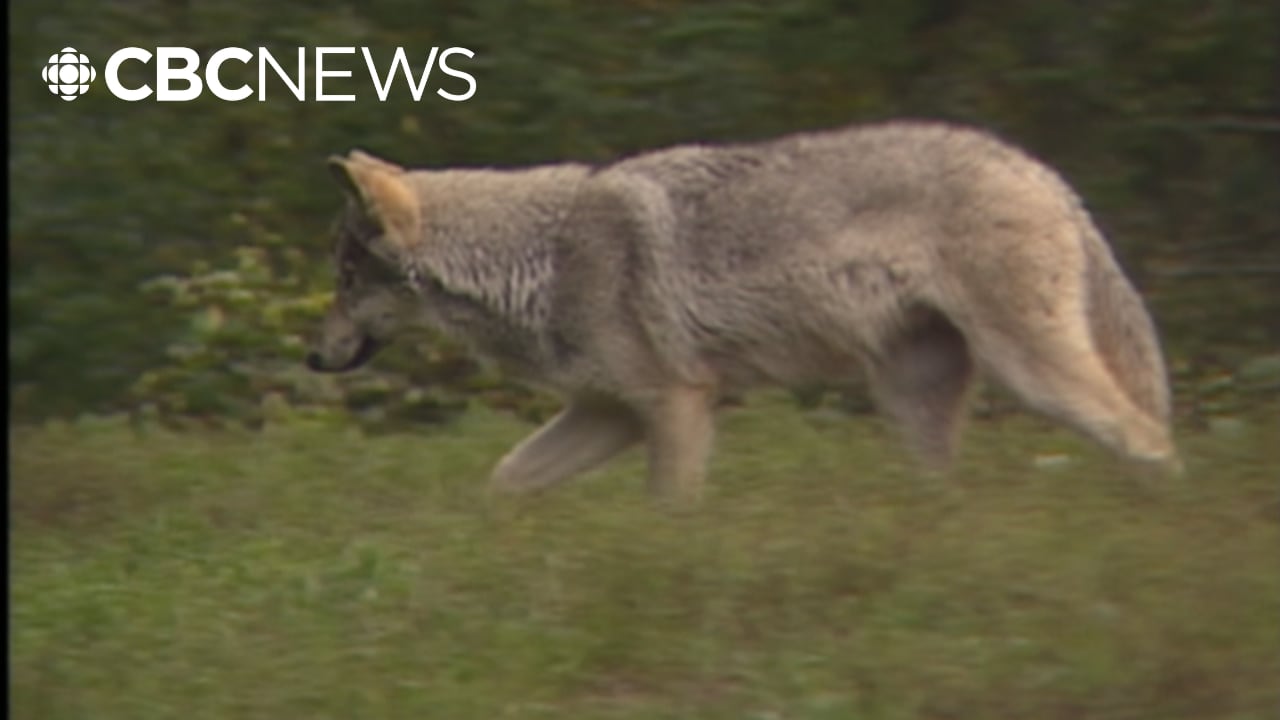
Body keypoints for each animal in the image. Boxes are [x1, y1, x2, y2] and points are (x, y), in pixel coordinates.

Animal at [307, 120, 1180, 503]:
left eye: (348, 278)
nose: (315, 357)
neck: (540, 256)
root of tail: (1040, 170)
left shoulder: (676, 404)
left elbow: (671, 510)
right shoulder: (608, 415)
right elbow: (502, 479)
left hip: (1029, 371)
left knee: (1148, 436)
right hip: (914, 400)